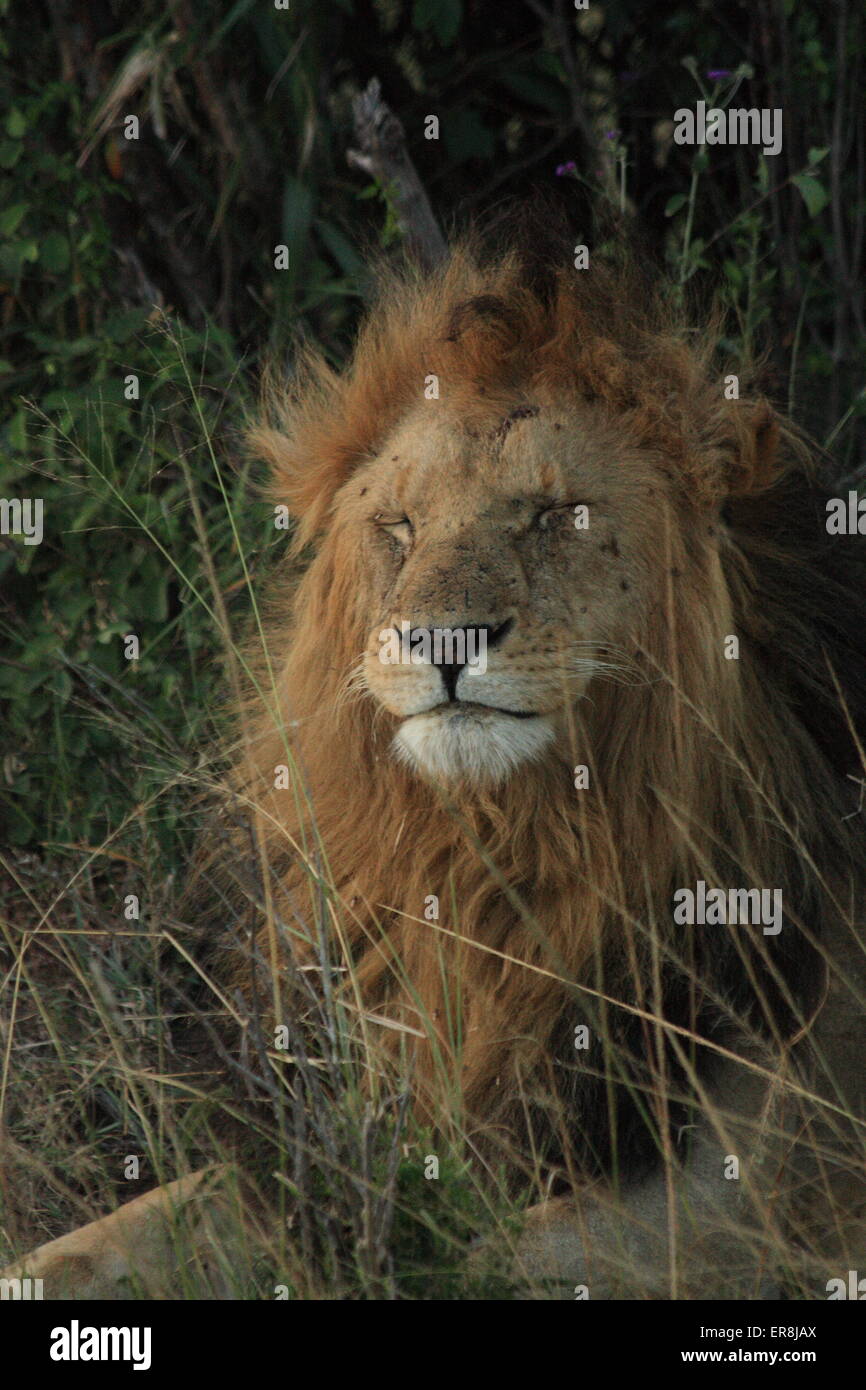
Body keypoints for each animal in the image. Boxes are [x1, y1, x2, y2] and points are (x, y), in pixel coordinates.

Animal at [7, 224, 866, 1299]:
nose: (442, 640)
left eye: (557, 517)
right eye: (400, 526)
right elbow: (133, 1228)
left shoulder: (764, 1176)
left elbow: (456, 1258)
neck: (490, 870)